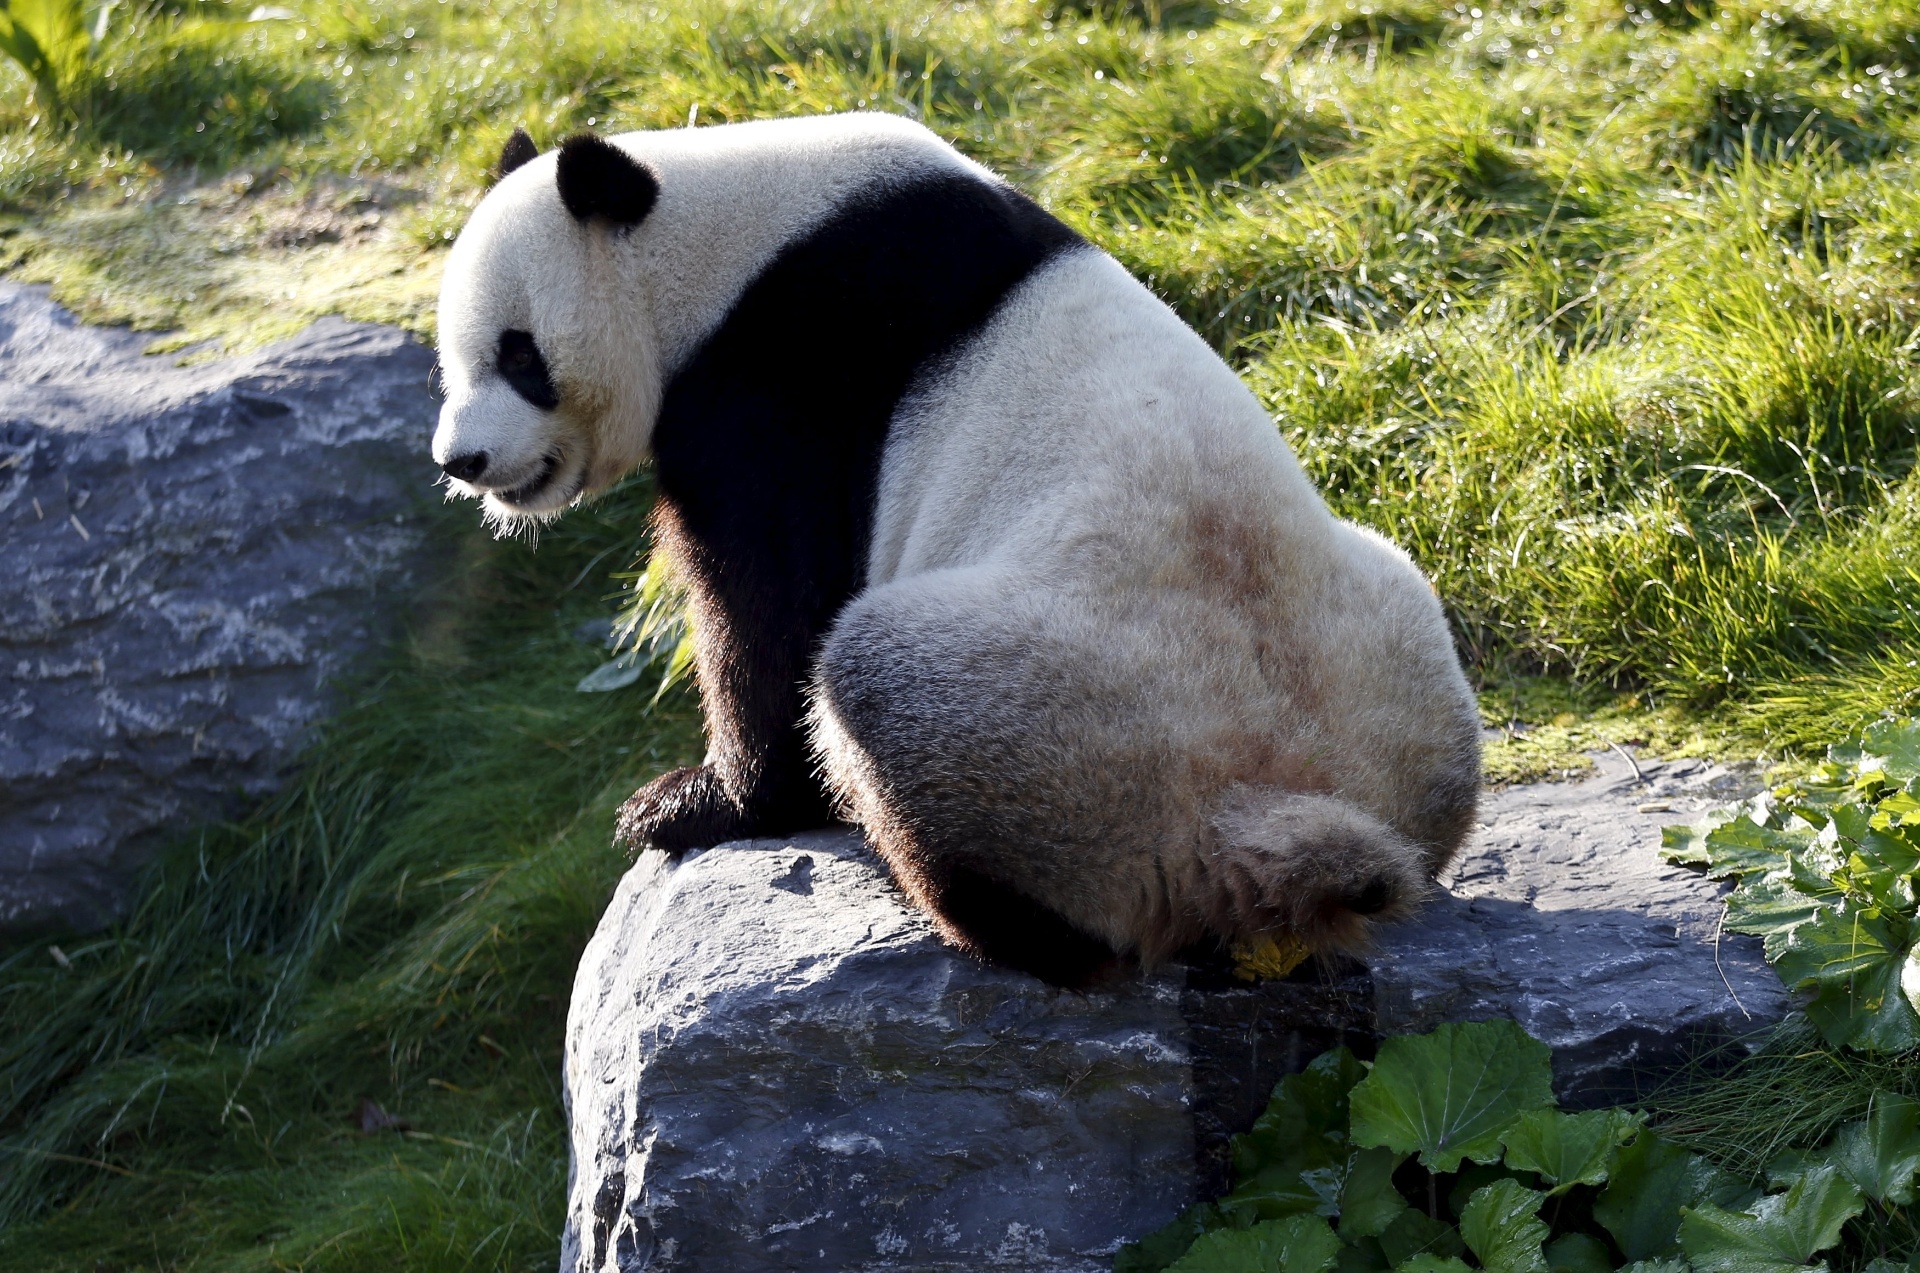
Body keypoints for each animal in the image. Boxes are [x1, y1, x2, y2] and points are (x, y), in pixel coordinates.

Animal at [432, 113, 1482, 987]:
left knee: (878, 680)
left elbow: (769, 605)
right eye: (452, 360)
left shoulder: (783, 378)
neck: (712, 238)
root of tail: (1280, 809)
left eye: (520, 356)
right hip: (1392, 650)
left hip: (1065, 721)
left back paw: (991, 917)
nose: (462, 460)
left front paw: (694, 803)